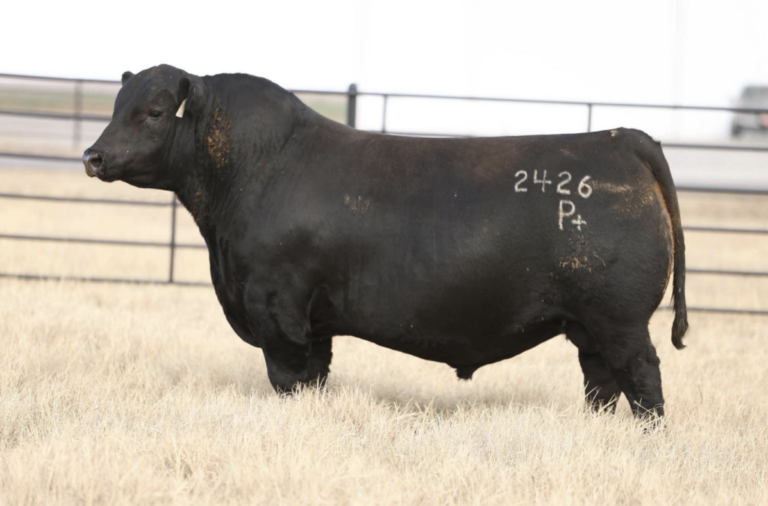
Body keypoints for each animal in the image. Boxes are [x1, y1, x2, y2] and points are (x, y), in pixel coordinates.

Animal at [83, 64, 688, 418]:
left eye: (154, 112)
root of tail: (619, 138)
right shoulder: (315, 324)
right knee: (602, 384)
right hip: (589, 327)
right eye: (115, 107)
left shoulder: (277, 309)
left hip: (620, 319)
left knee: (643, 379)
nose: (93, 156)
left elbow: (288, 378)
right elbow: (315, 377)